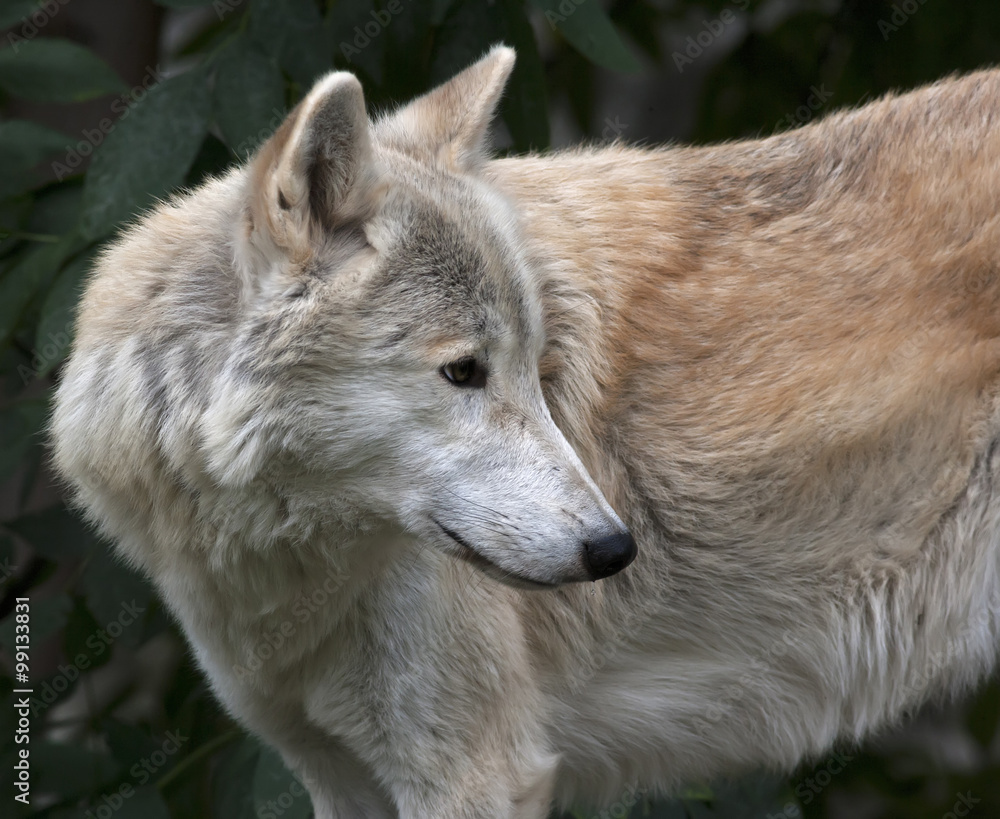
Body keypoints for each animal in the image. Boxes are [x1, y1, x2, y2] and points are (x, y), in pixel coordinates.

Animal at [51, 46, 1000, 817]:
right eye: (465, 371)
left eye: (533, 369)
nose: (615, 549)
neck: (294, 569)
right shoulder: (340, 775)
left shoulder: (477, 771)